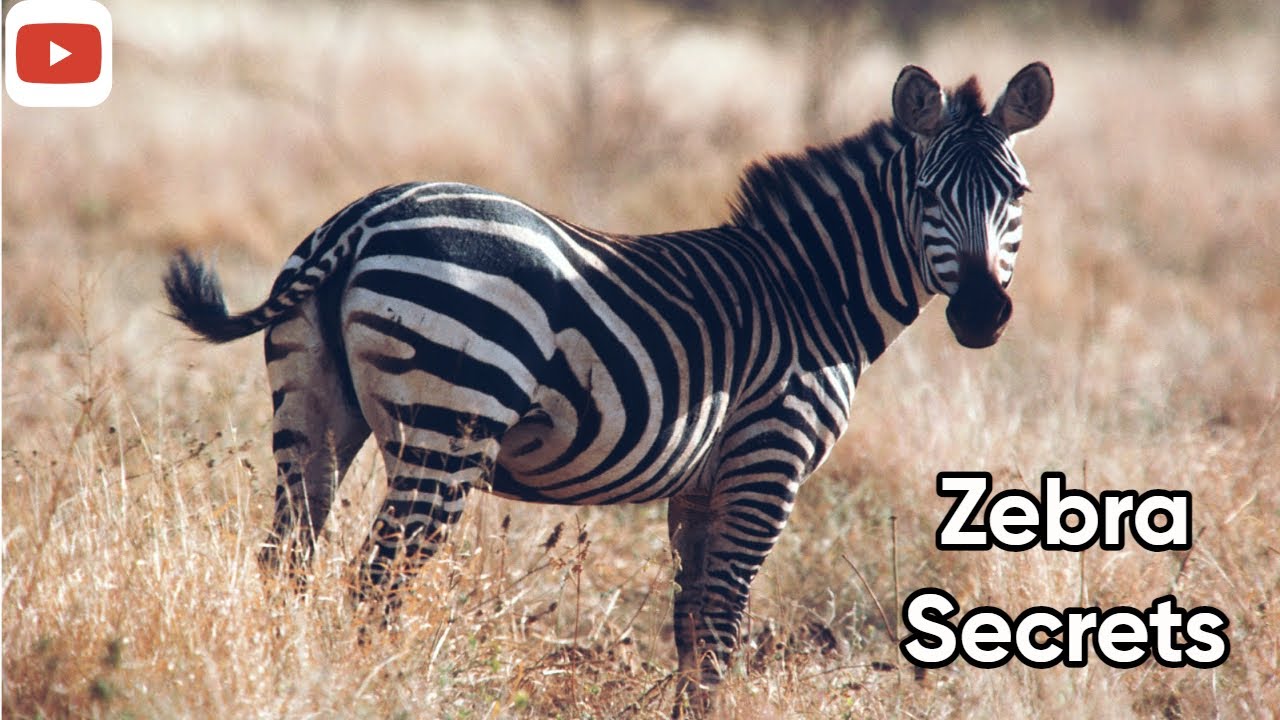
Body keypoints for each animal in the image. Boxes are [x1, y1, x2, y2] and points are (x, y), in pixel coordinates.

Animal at [164, 62, 1052, 713]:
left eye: (1016, 195)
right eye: (927, 195)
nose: (981, 314)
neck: (812, 291)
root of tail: (363, 220)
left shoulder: (701, 484)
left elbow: (693, 622)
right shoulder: (769, 460)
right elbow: (724, 618)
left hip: (311, 408)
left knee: (287, 560)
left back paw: (294, 674)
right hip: (451, 422)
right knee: (376, 578)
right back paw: (371, 692)